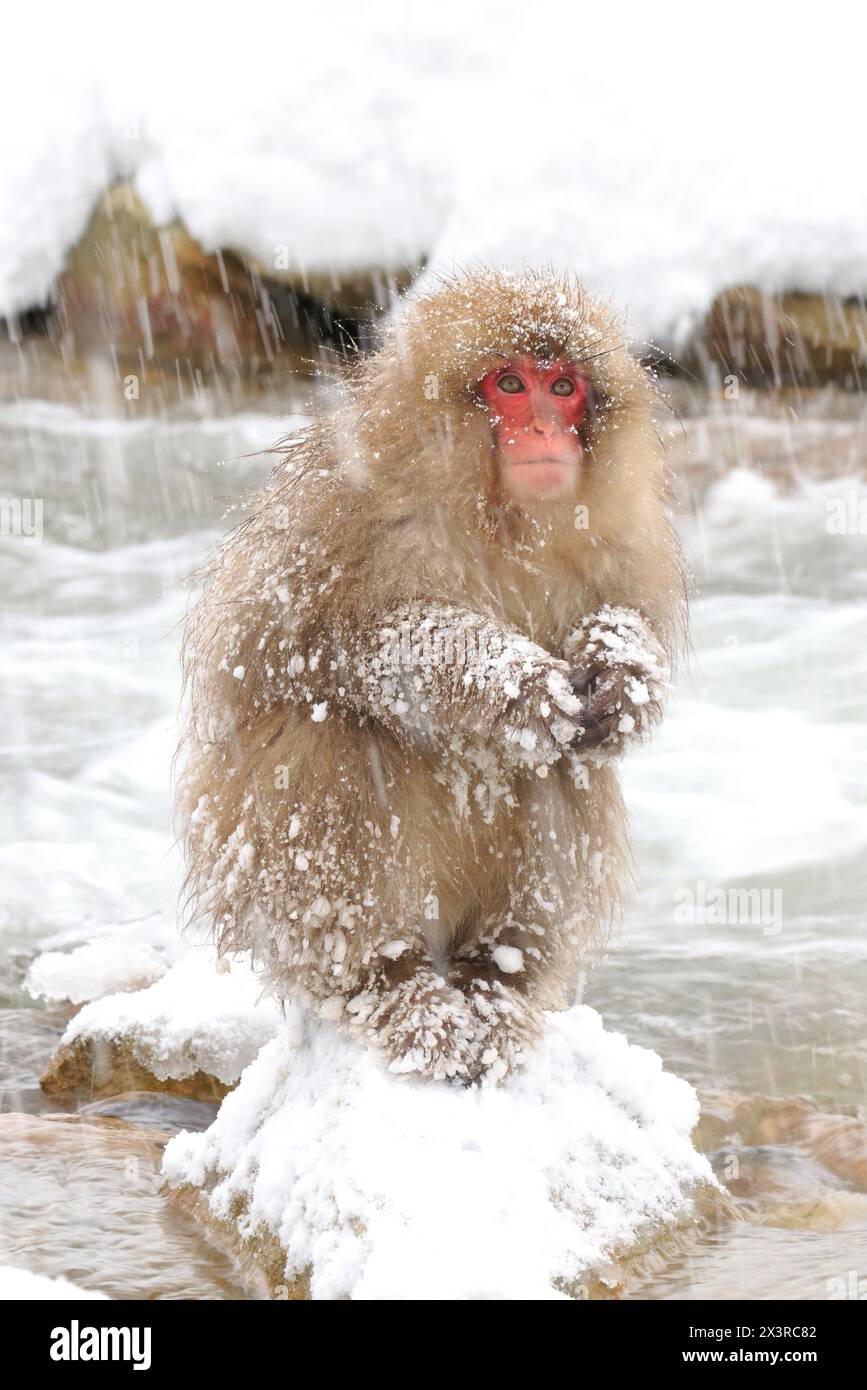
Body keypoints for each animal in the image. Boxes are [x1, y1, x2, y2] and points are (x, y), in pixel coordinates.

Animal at [178, 269, 686, 1085]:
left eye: (563, 386)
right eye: (510, 384)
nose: (545, 429)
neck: (500, 519)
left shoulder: (619, 531)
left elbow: (622, 619)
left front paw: (622, 669)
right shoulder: (339, 509)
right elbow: (317, 647)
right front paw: (512, 680)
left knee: (568, 766)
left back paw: (495, 980)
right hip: (255, 877)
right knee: (331, 744)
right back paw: (390, 987)